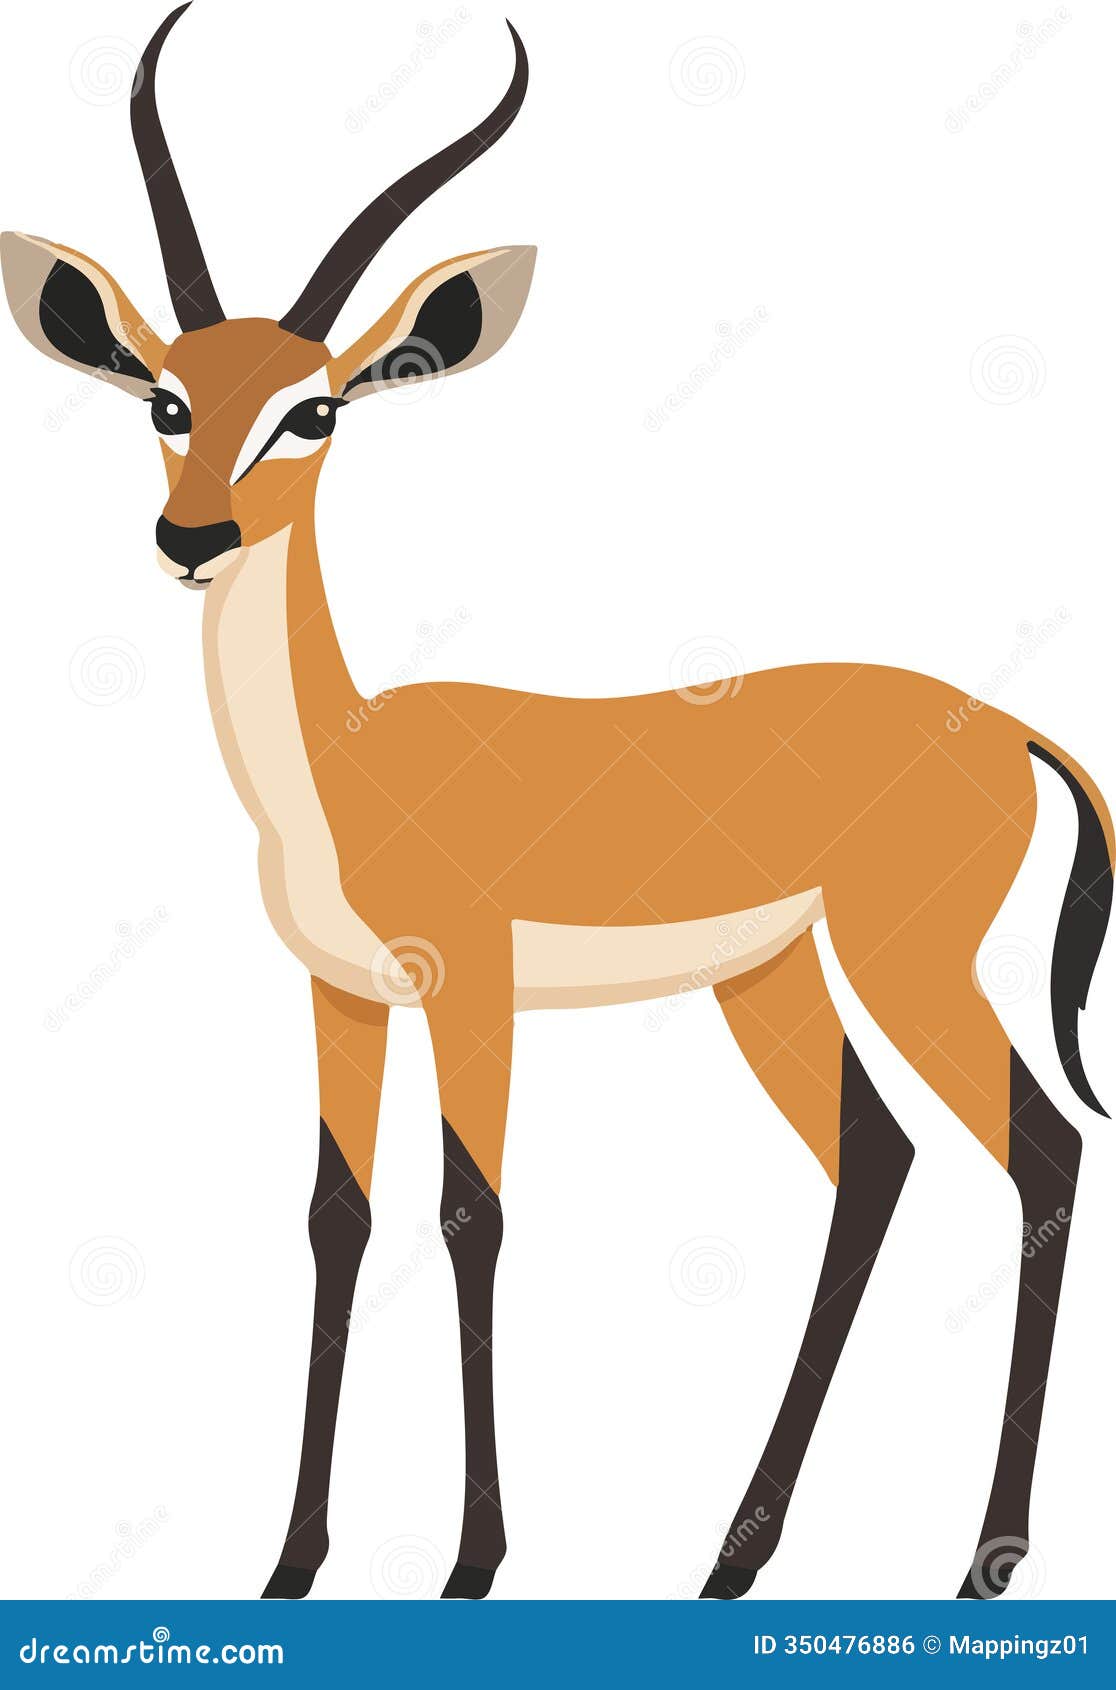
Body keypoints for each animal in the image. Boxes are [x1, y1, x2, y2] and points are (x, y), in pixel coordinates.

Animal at [5, 3, 1110, 1602]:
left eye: (311, 412)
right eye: (168, 400)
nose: (190, 535)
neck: (344, 765)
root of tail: (1014, 726)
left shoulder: (473, 989)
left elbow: (471, 1214)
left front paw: (471, 1564)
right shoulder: (341, 995)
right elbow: (337, 1216)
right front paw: (289, 1566)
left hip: (909, 960)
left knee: (1044, 1148)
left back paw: (984, 1560)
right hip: (773, 979)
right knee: (876, 1162)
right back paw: (729, 1561)